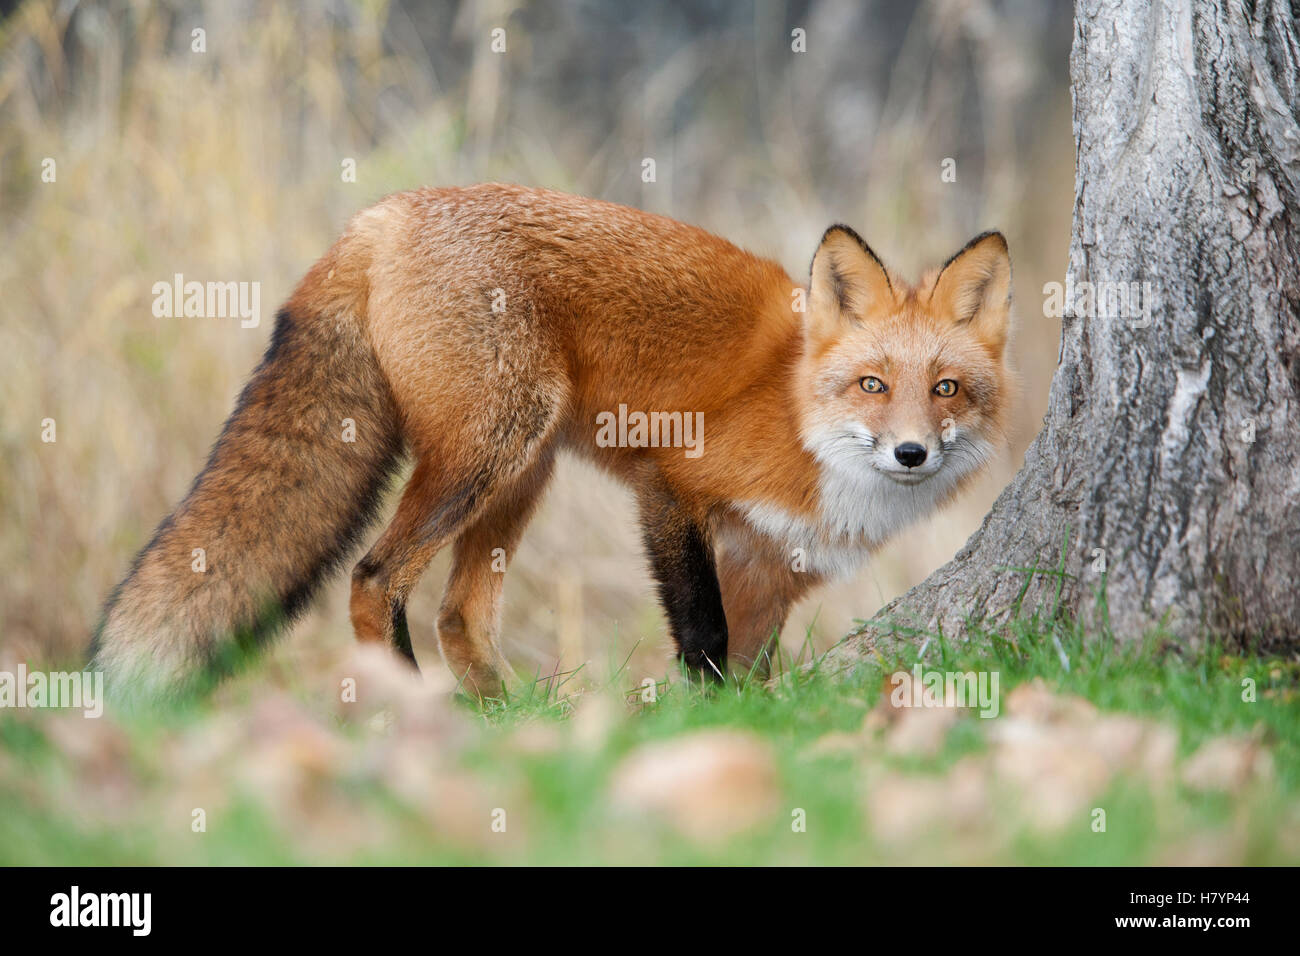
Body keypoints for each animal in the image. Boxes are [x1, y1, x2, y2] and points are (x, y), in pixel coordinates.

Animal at [91, 183, 1015, 698]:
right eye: (872, 386)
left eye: (946, 390)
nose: (911, 455)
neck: (801, 417)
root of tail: (381, 216)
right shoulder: (671, 488)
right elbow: (706, 638)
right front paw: (711, 722)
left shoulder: (772, 564)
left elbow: (755, 666)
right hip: (487, 452)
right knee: (373, 577)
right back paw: (420, 711)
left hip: (521, 473)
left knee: (459, 616)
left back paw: (508, 722)